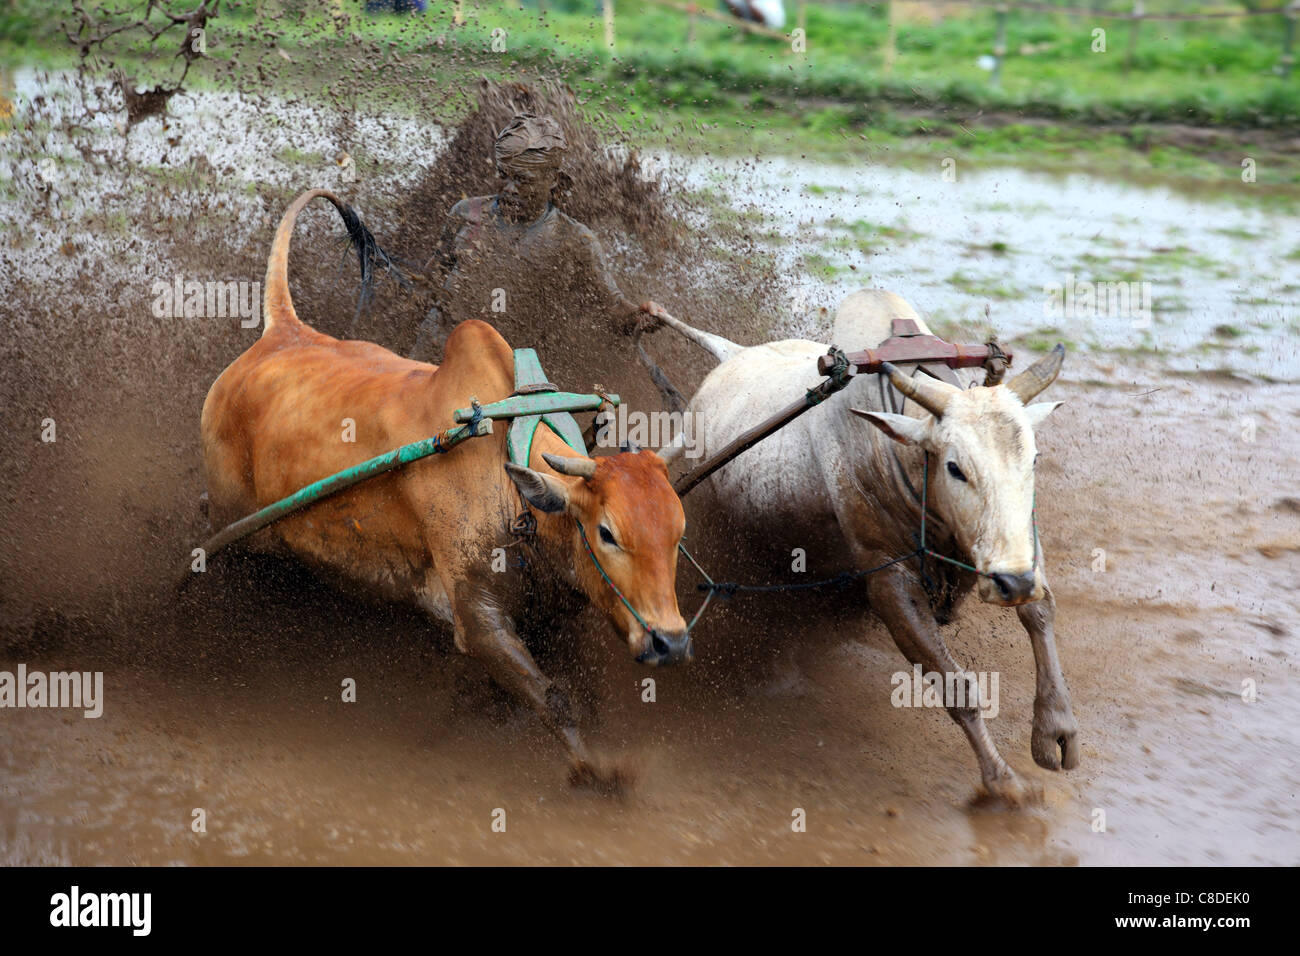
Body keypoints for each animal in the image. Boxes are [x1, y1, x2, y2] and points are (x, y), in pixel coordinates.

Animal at [199, 189, 691, 789]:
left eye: (677, 535)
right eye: (608, 533)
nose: (671, 641)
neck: (512, 477)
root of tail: (282, 332)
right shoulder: (477, 616)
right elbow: (553, 697)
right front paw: (593, 771)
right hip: (232, 527)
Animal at [652, 289, 1079, 803]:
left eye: (1033, 457)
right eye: (955, 467)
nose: (1010, 583)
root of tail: (730, 358)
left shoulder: (1021, 547)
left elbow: (1040, 613)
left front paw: (1055, 730)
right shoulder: (888, 581)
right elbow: (956, 687)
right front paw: (1002, 781)